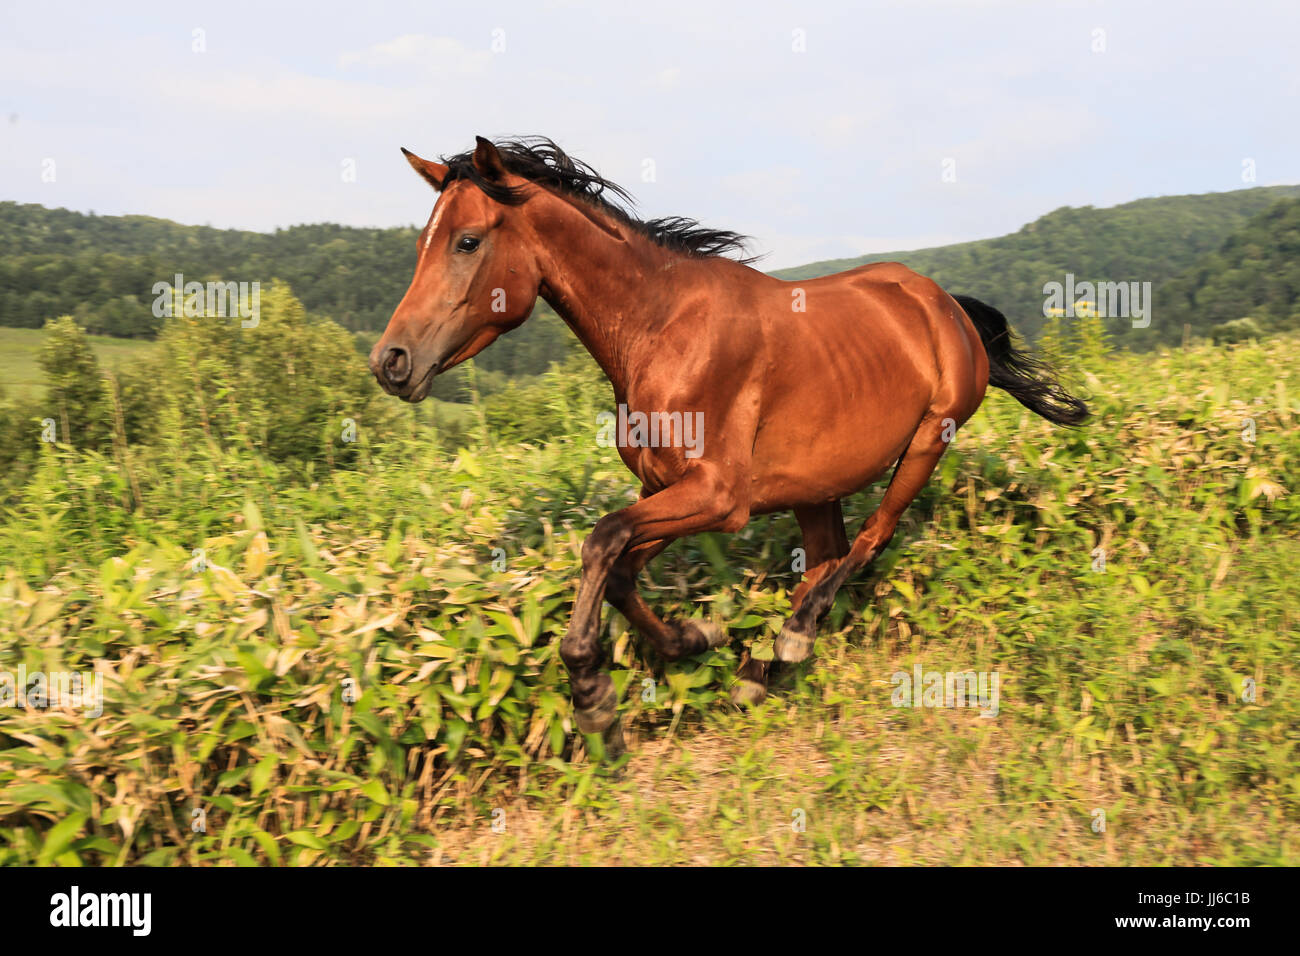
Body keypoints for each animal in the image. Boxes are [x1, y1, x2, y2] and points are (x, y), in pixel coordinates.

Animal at [370, 136, 1087, 755]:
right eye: (421, 243)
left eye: (467, 241)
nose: (390, 362)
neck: (663, 330)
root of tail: (947, 306)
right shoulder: (664, 489)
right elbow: (621, 570)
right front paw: (696, 638)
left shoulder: (719, 497)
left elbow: (602, 540)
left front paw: (594, 701)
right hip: (815, 487)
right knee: (826, 558)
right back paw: (760, 670)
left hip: (927, 444)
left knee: (869, 541)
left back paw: (790, 643)